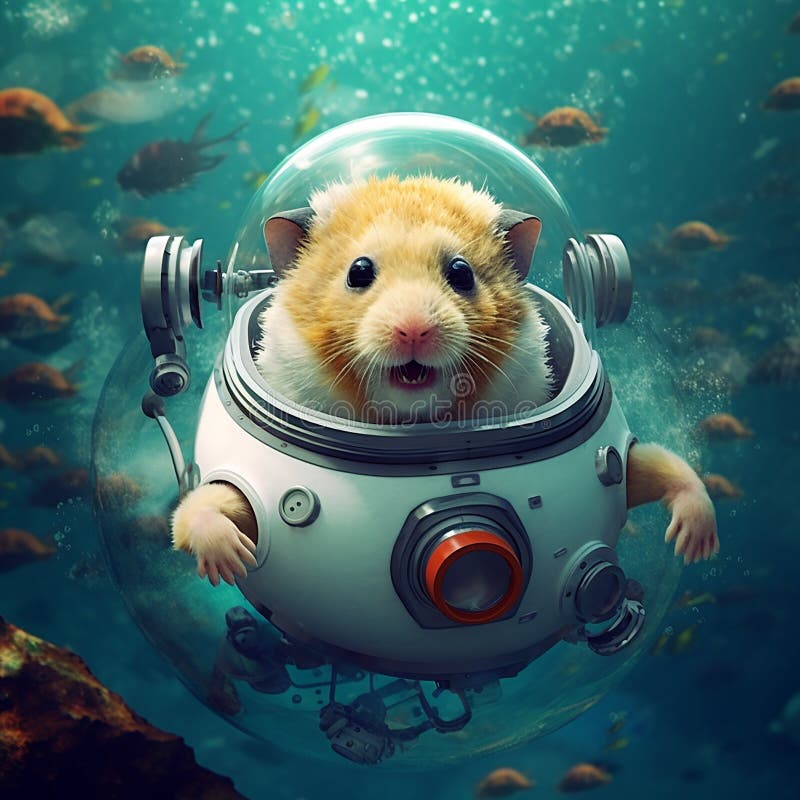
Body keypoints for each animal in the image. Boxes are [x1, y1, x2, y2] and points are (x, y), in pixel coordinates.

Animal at [171, 175, 718, 586]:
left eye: (460, 272)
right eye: (358, 271)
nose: (415, 329)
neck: (414, 422)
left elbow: (653, 463)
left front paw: (695, 545)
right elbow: (210, 503)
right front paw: (230, 561)